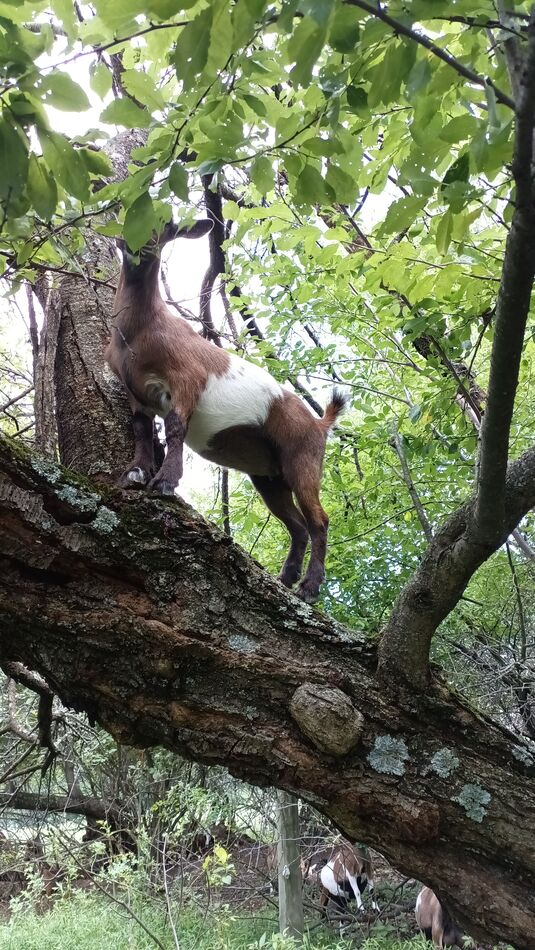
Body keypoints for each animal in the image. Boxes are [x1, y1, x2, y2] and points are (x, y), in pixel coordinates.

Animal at [106, 221, 347, 603]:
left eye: (168, 227)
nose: (139, 245)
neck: (142, 328)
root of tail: (321, 422)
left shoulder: (187, 376)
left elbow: (175, 425)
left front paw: (166, 481)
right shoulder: (135, 394)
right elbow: (142, 429)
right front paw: (136, 471)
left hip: (303, 457)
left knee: (318, 519)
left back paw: (309, 587)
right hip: (268, 476)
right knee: (296, 525)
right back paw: (287, 577)